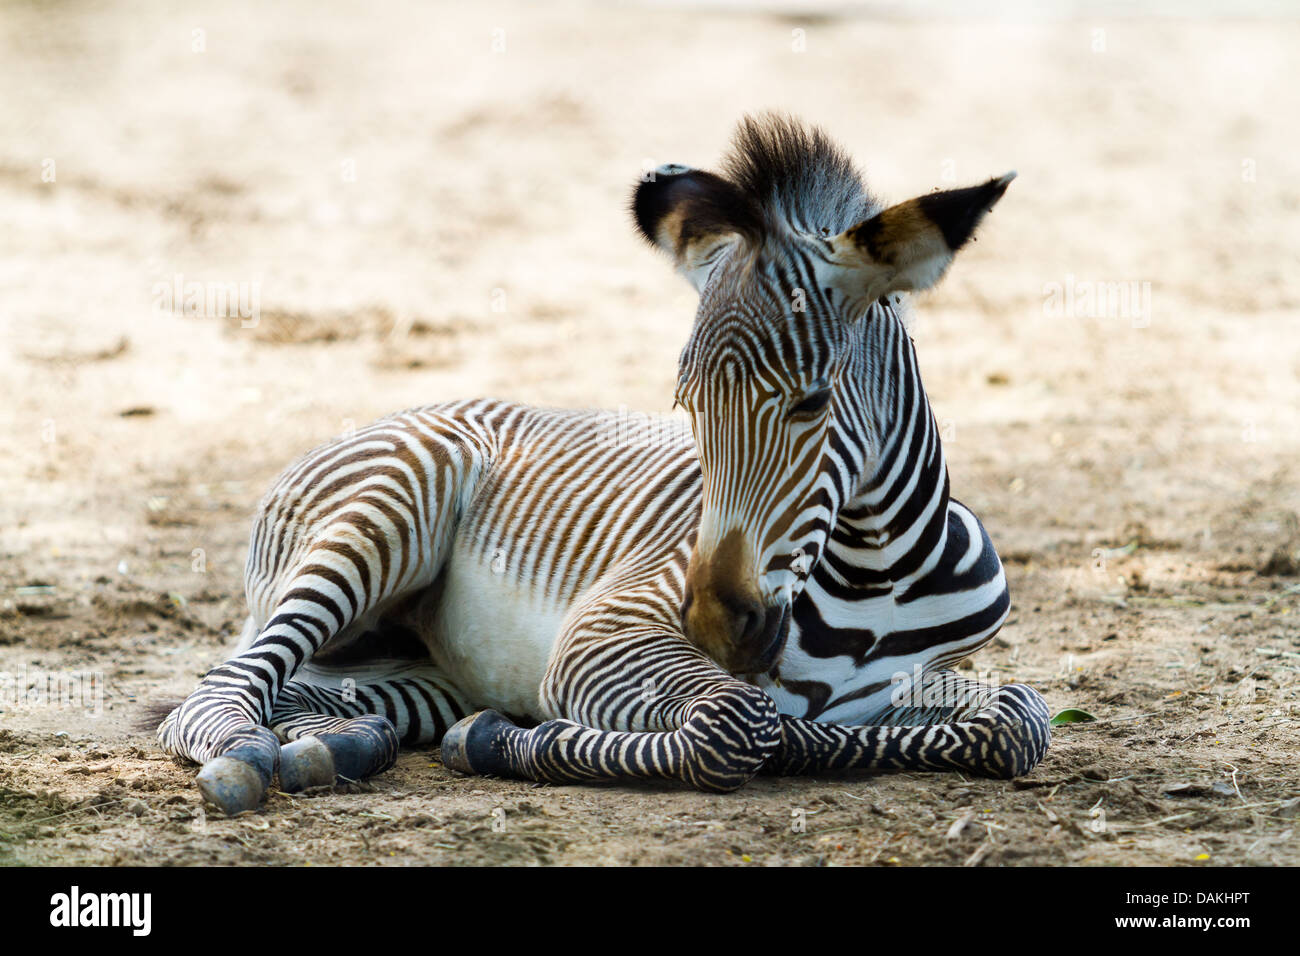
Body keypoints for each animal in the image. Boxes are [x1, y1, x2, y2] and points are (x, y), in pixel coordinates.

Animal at [156, 114, 1050, 815]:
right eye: (688, 406)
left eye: (810, 403)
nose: (713, 624)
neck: (878, 579)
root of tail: (384, 418)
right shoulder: (606, 628)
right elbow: (741, 725)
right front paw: (509, 743)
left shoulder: (919, 679)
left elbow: (1019, 718)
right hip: (381, 519)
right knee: (219, 689)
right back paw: (255, 757)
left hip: (421, 670)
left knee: (297, 692)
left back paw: (341, 746)